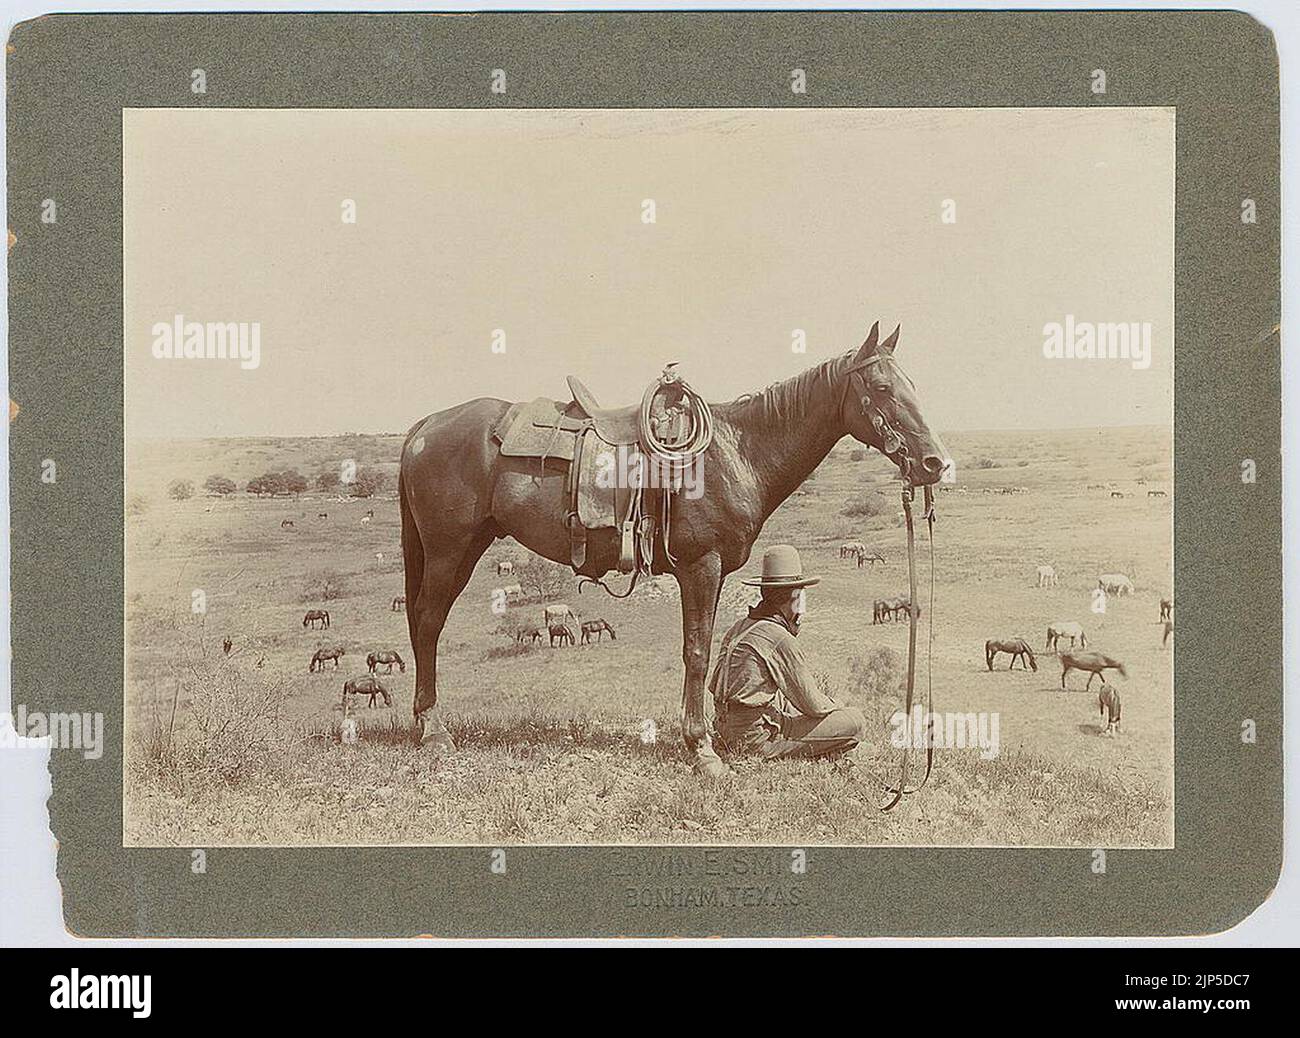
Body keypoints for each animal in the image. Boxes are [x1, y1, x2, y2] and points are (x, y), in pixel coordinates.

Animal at [398, 320, 948, 776]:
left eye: (913, 387)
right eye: (882, 388)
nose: (934, 463)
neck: (736, 452)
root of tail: (425, 426)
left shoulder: (716, 571)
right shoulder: (700, 567)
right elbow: (697, 653)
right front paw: (701, 749)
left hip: (466, 548)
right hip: (448, 551)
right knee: (427, 624)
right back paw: (434, 730)